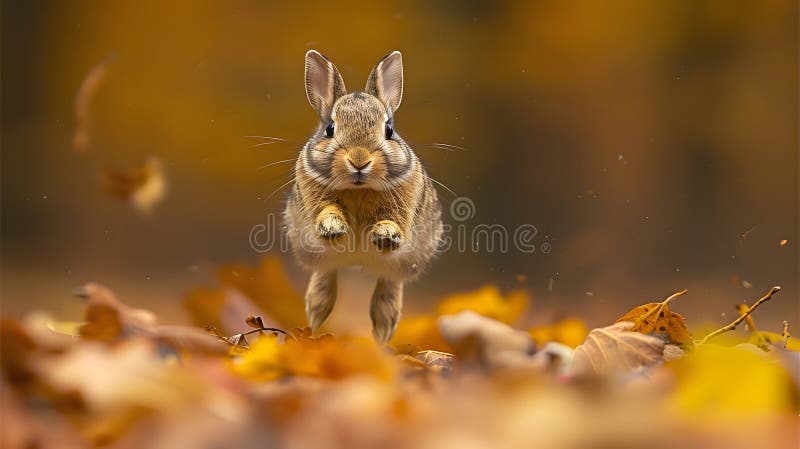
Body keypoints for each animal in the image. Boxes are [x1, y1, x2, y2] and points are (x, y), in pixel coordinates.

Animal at [283, 50, 443, 343]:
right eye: (330, 128)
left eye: (388, 130)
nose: (359, 160)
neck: (358, 188)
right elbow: (326, 210)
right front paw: (333, 226)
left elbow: (393, 220)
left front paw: (386, 234)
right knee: (323, 289)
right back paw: (314, 326)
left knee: (386, 298)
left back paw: (381, 337)